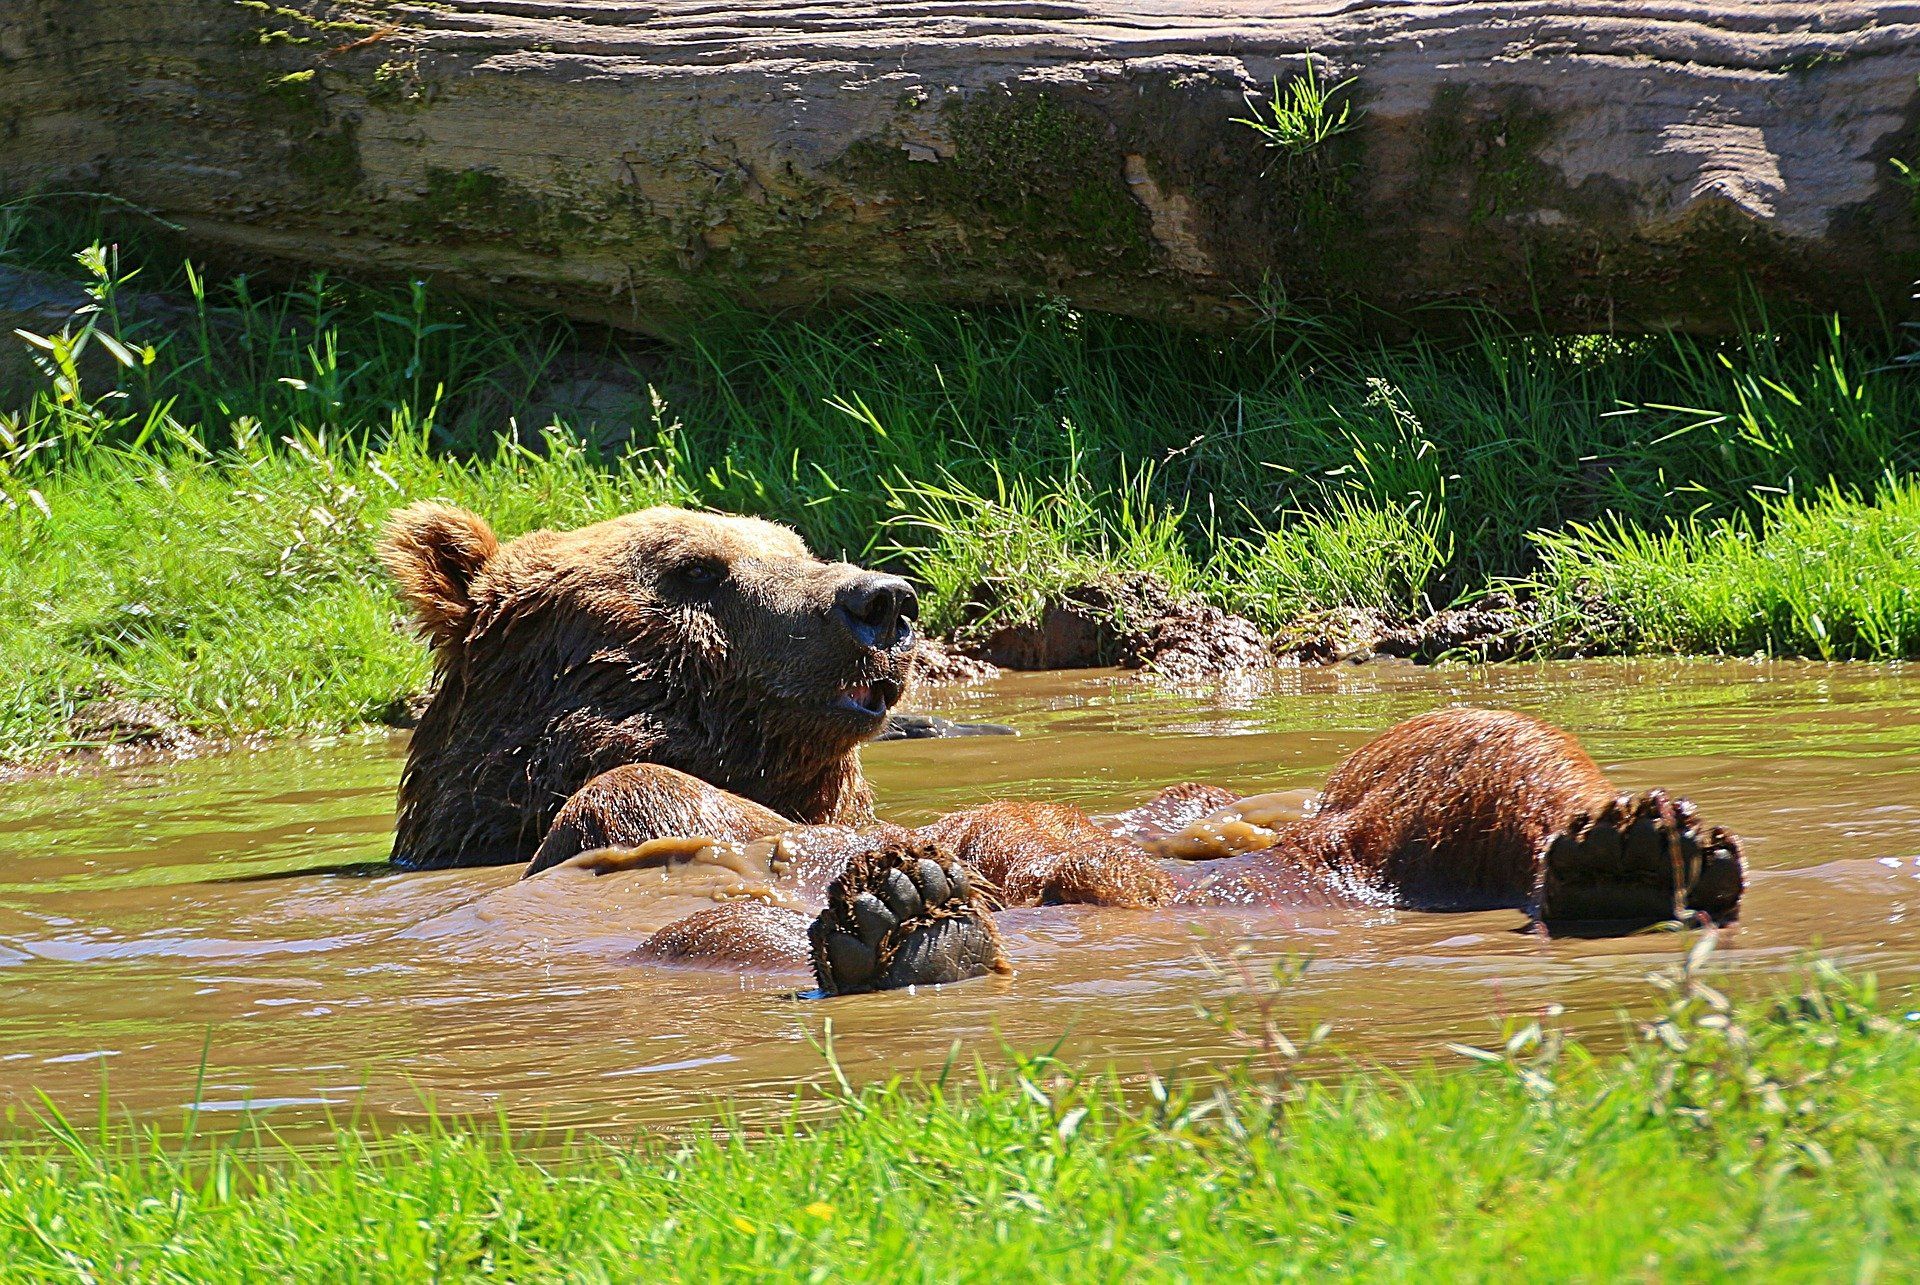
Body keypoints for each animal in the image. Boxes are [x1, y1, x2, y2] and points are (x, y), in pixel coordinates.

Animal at [382, 499, 1751, 991]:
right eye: (695, 567)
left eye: (790, 539)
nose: (880, 598)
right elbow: (647, 814)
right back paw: (912, 926)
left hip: (1356, 829)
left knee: (1476, 744)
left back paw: (1636, 846)